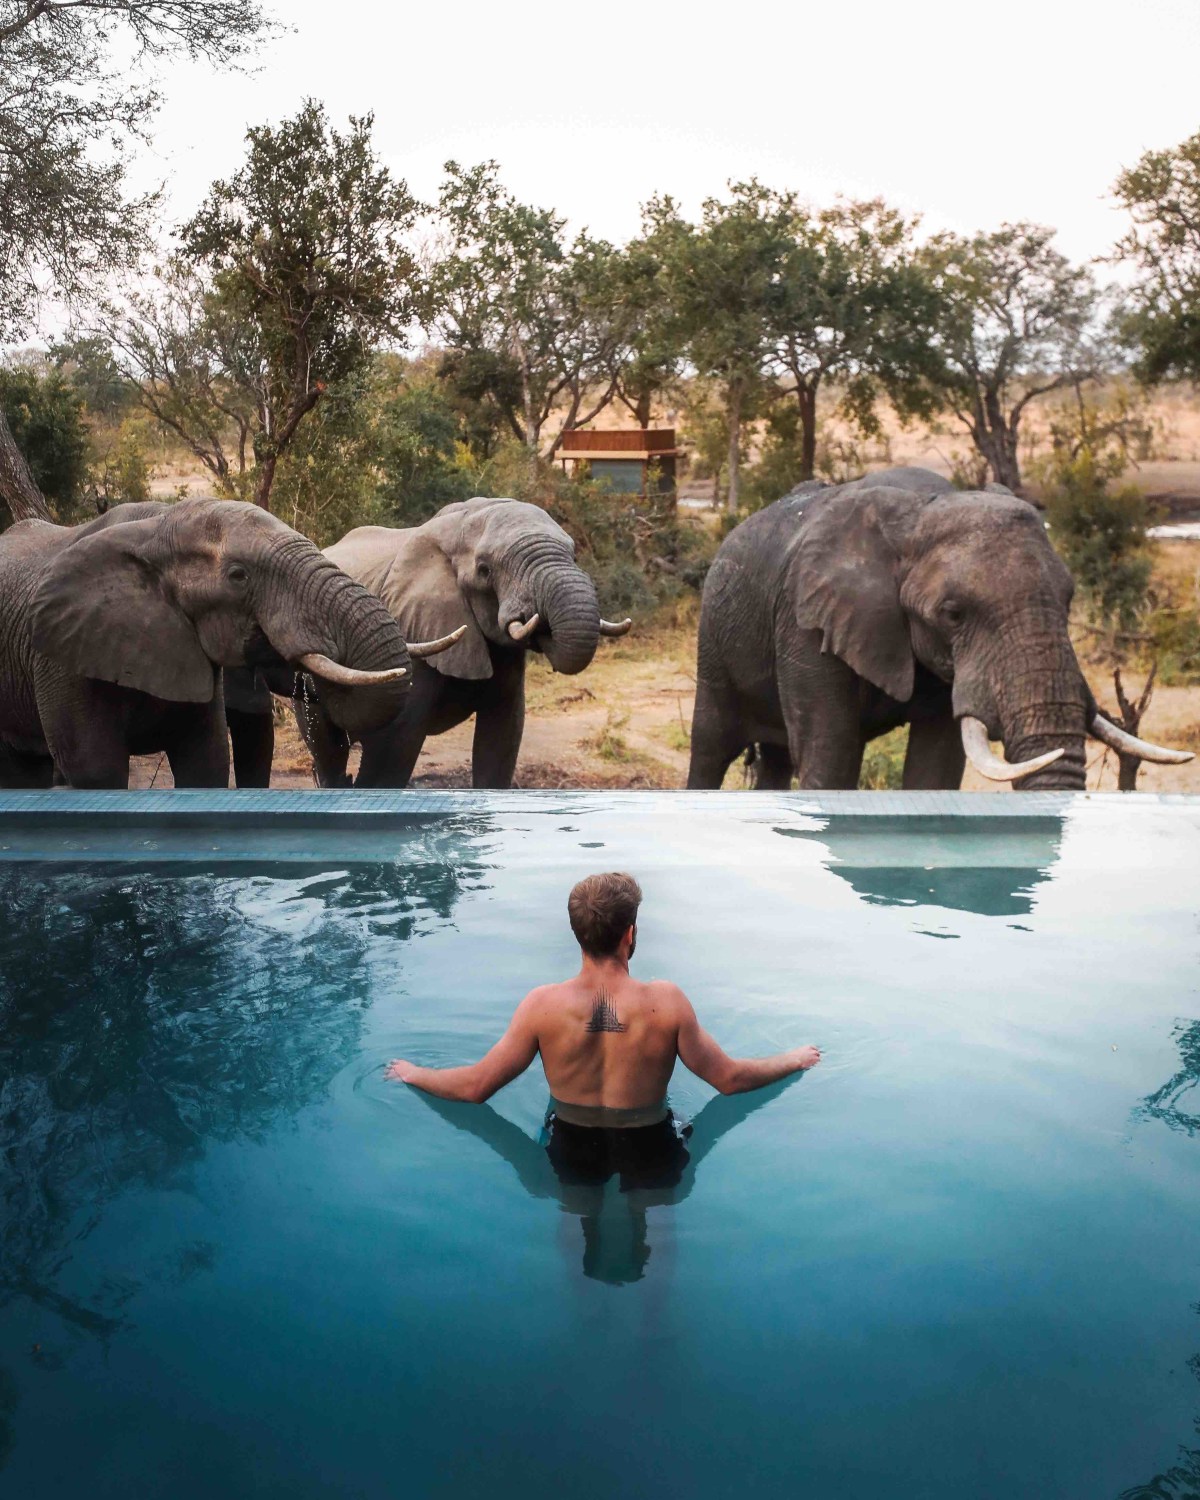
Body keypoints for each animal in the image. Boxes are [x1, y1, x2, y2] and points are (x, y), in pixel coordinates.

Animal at [266, 496, 632, 789]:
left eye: (574, 555)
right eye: (485, 570)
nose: (539, 620)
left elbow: (502, 736)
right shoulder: (414, 633)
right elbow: (396, 745)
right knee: (327, 745)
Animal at [687, 466, 1192, 791]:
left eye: (1069, 599)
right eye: (952, 613)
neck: (920, 511)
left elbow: (936, 765)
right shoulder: (806, 623)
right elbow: (829, 757)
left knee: (776, 760)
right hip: (712, 635)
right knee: (711, 749)